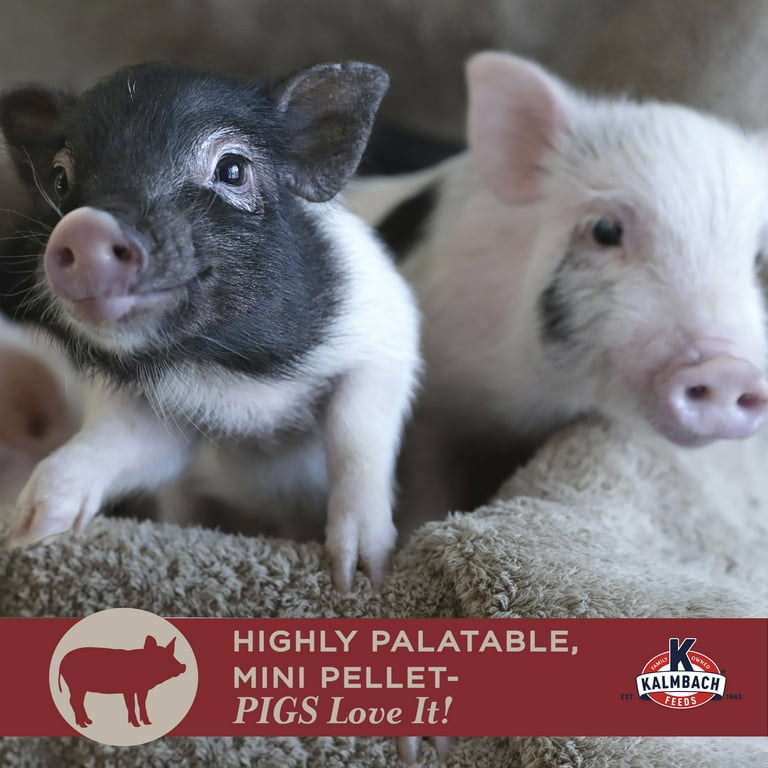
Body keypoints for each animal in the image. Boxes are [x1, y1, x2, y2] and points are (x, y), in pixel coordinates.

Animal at [0, 60, 420, 590]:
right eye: (59, 179)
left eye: (233, 169)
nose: (85, 226)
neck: (237, 385)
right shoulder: (157, 414)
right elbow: (119, 445)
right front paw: (25, 533)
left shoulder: (385, 333)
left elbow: (357, 439)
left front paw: (360, 576)